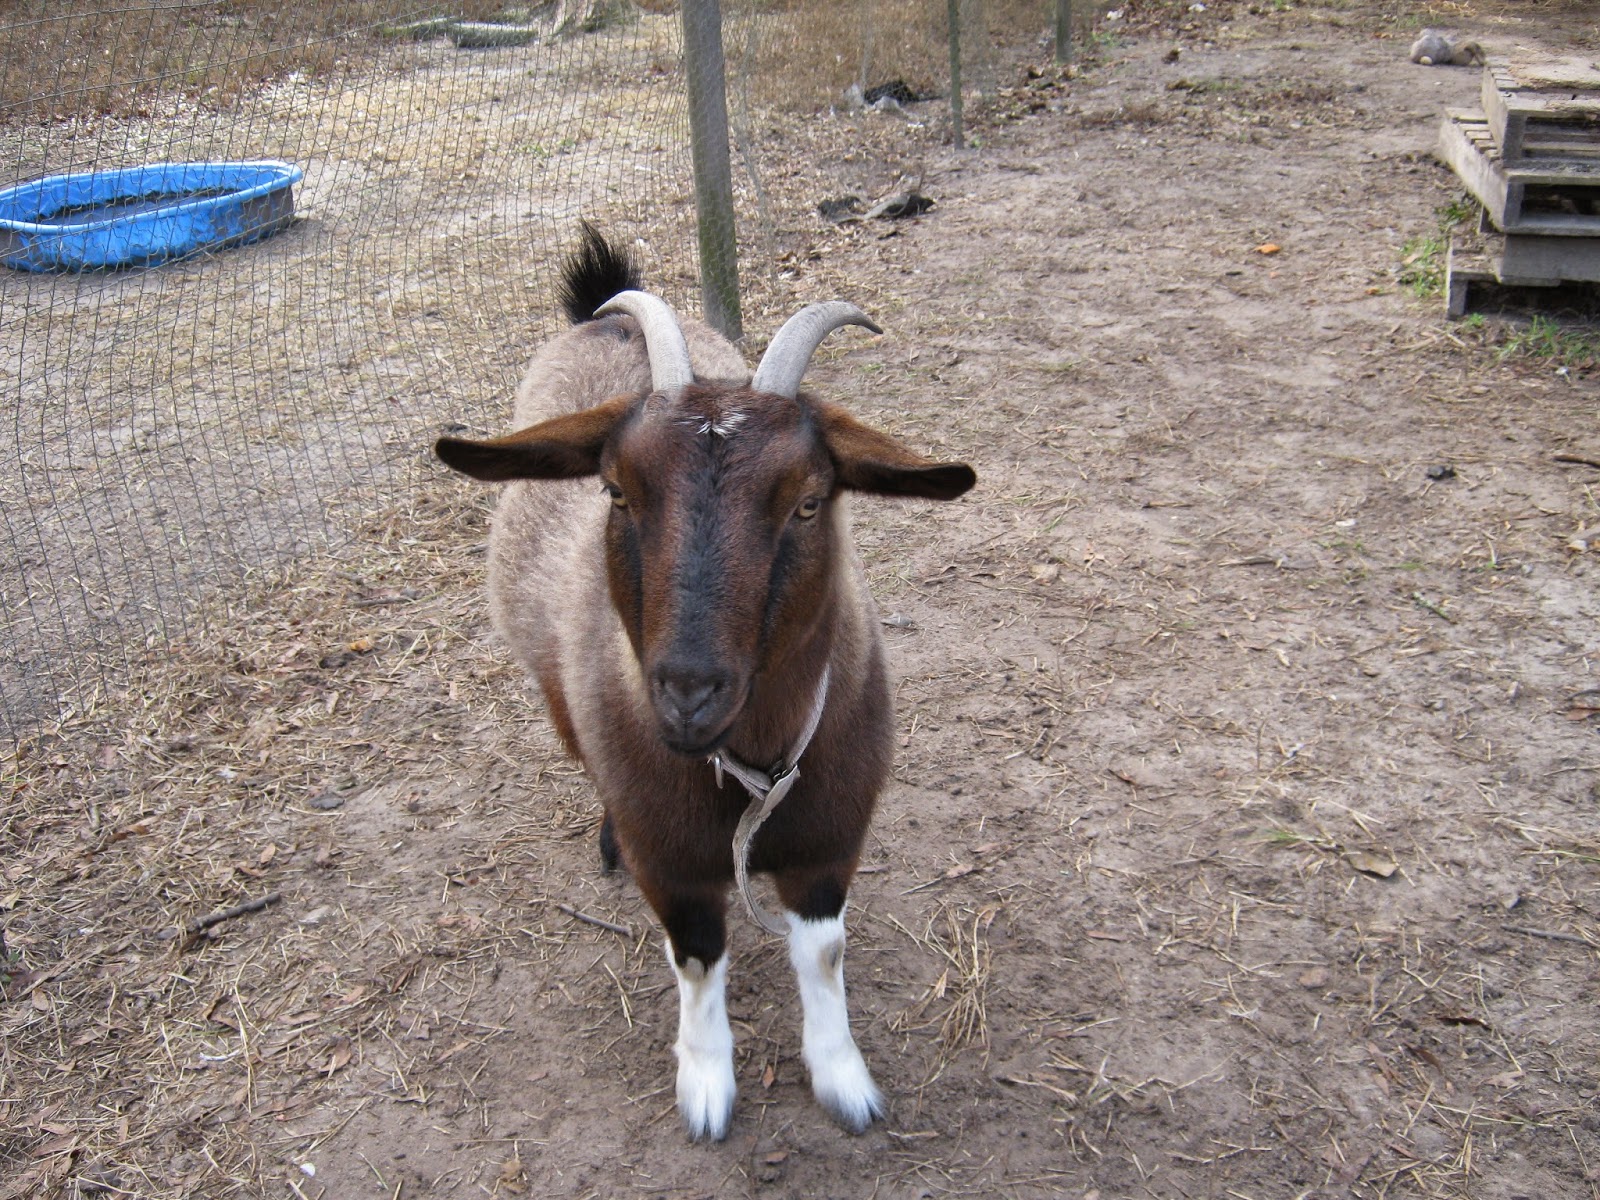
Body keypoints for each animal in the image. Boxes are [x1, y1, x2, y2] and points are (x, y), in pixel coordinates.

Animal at [434, 225, 975, 1140]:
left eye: (809, 501)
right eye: (616, 489)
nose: (688, 694)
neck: (750, 769)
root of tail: (603, 313)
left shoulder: (833, 837)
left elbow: (823, 951)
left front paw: (843, 1078)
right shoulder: (671, 859)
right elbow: (696, 955)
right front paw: (706, 1084)